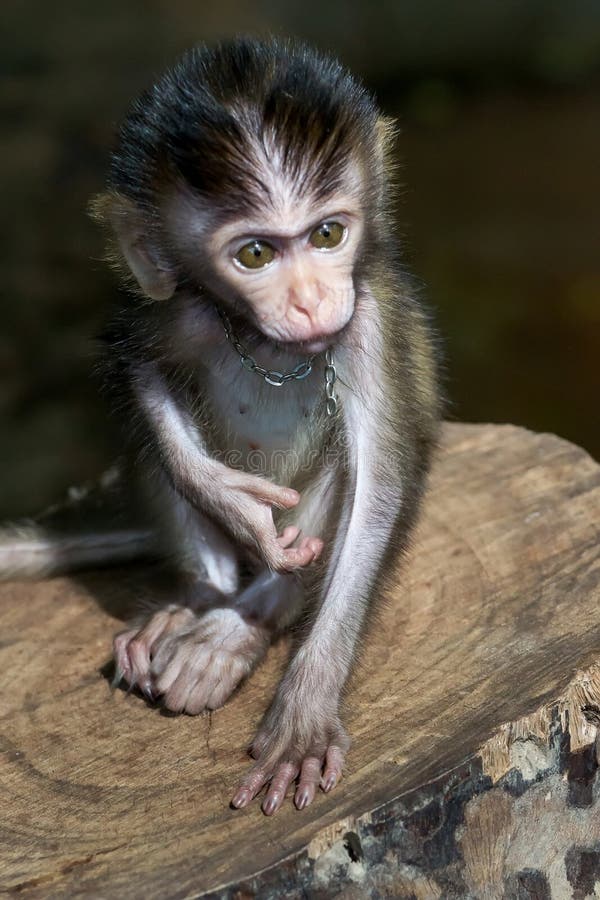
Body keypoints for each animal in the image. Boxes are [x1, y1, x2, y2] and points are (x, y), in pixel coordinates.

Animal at [1, 38, 440, 816]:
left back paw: (245, 623)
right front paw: (225, 498)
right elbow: (140, 370)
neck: (268, 345)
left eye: (329, 234)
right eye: (256, 254)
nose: (312, 301)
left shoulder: (368, 318)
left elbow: (379, 484)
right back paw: (198, 604)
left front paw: (305, 705)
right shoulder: (178, 310)